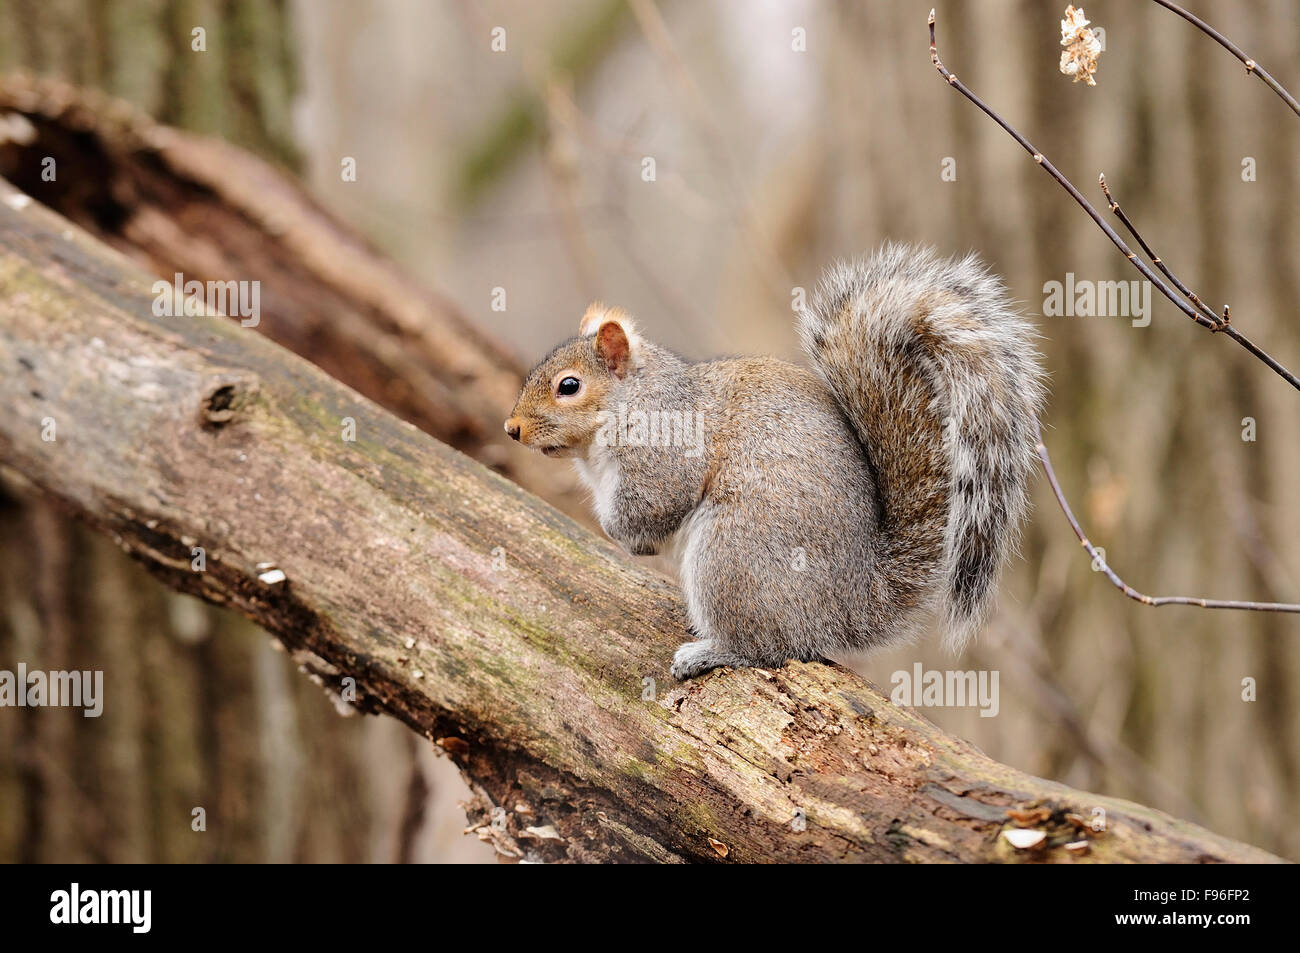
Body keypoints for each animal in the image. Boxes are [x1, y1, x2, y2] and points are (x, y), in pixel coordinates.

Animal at [505, 243, 1045, 680]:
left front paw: (621, 534)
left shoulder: (665, 454)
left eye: (569, 386)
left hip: (733, 555)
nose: (512, 429)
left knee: (769, 648)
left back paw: (712, 651)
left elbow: (653, 506)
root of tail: (848, 607)